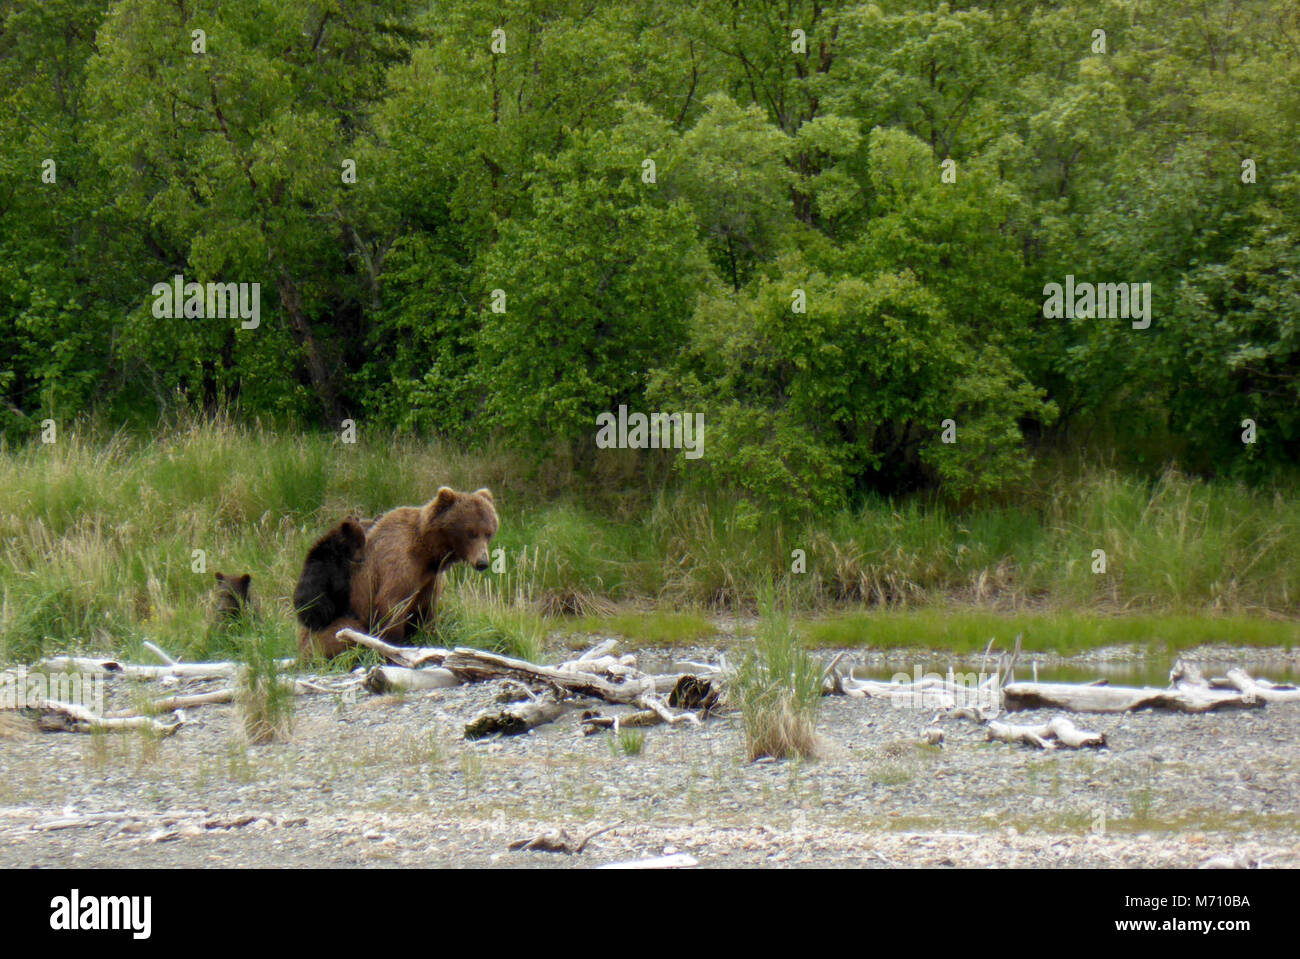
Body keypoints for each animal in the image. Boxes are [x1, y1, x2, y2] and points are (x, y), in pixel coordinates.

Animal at [297, 487, 497, 659]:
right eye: (471, 532)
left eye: (488, 532)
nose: (482, 562)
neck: (428, 552)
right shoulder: (399, 562)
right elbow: (390, 604)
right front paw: (394, 647)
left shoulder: (429, 579)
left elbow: (427, 610)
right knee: (346, 631)